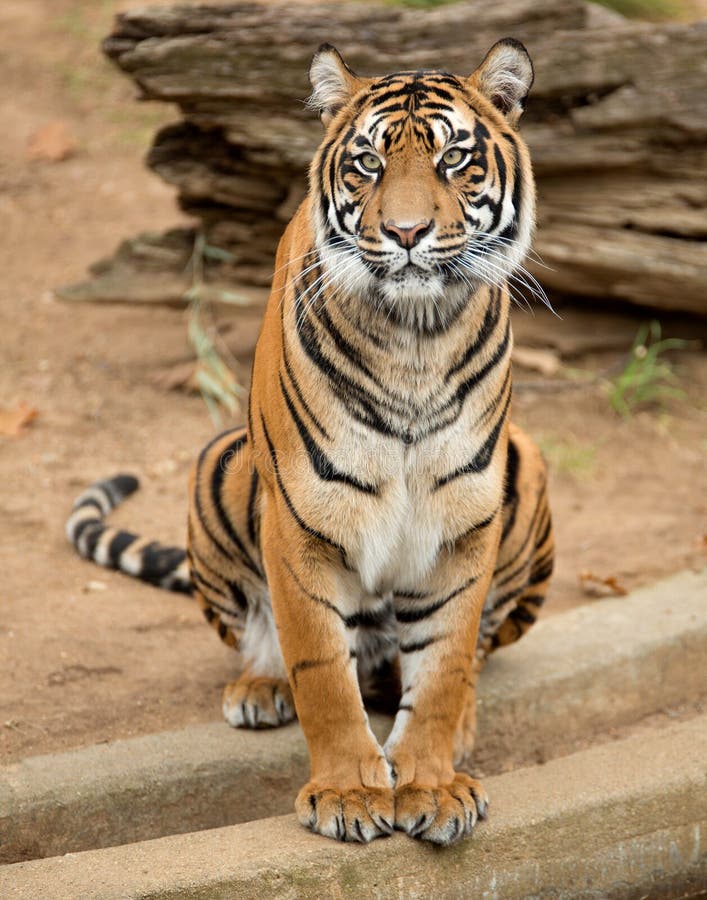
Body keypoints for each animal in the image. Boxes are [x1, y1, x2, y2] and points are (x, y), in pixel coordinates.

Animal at [67, 39, 554, 846]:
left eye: (453, 159)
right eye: (368, 163)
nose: (407, 233)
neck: (416, 339)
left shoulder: (461, 523)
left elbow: (445, 664)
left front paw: (430, 782)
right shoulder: (301, 520)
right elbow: (322, 670)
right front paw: (349, 793)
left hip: (527, 468)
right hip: (219, 464)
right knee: (270, 641)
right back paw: (260, 688)